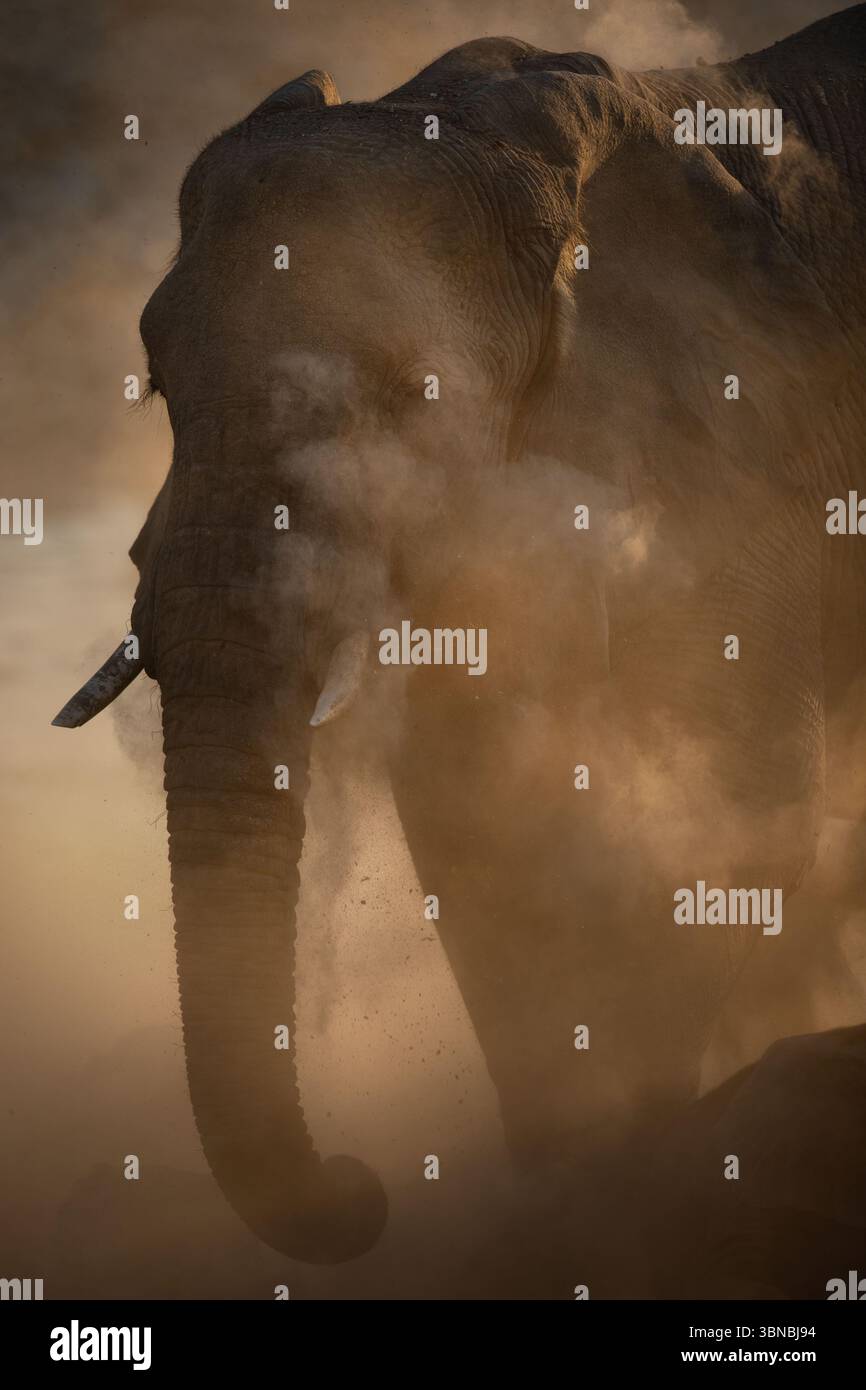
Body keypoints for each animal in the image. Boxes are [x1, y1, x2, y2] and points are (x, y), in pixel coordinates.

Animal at [53, 3, 866, 1274]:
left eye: (403, 397)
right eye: (157, 383)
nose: (359, 1185)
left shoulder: (742, 445)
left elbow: (735, 810)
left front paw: (647, 1170)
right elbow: (476, 821)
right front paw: (572, 1184)